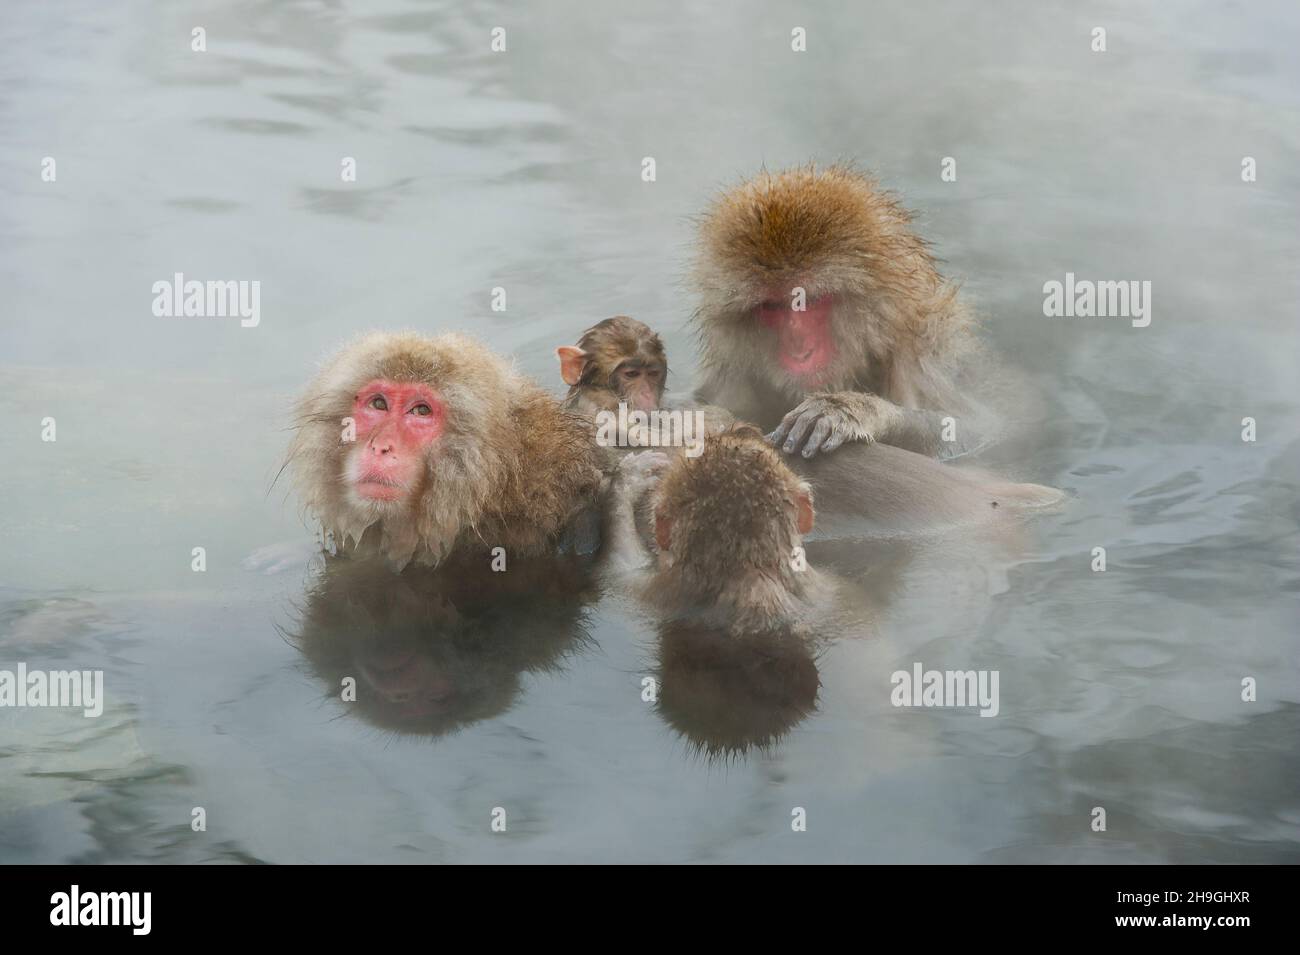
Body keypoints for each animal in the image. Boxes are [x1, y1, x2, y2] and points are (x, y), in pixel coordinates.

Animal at [692, 163, 996, 459]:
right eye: (771, 306)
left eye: (809, 300)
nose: (798, 345)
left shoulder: (928, 354)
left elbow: (971, 429)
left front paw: (851, 409)